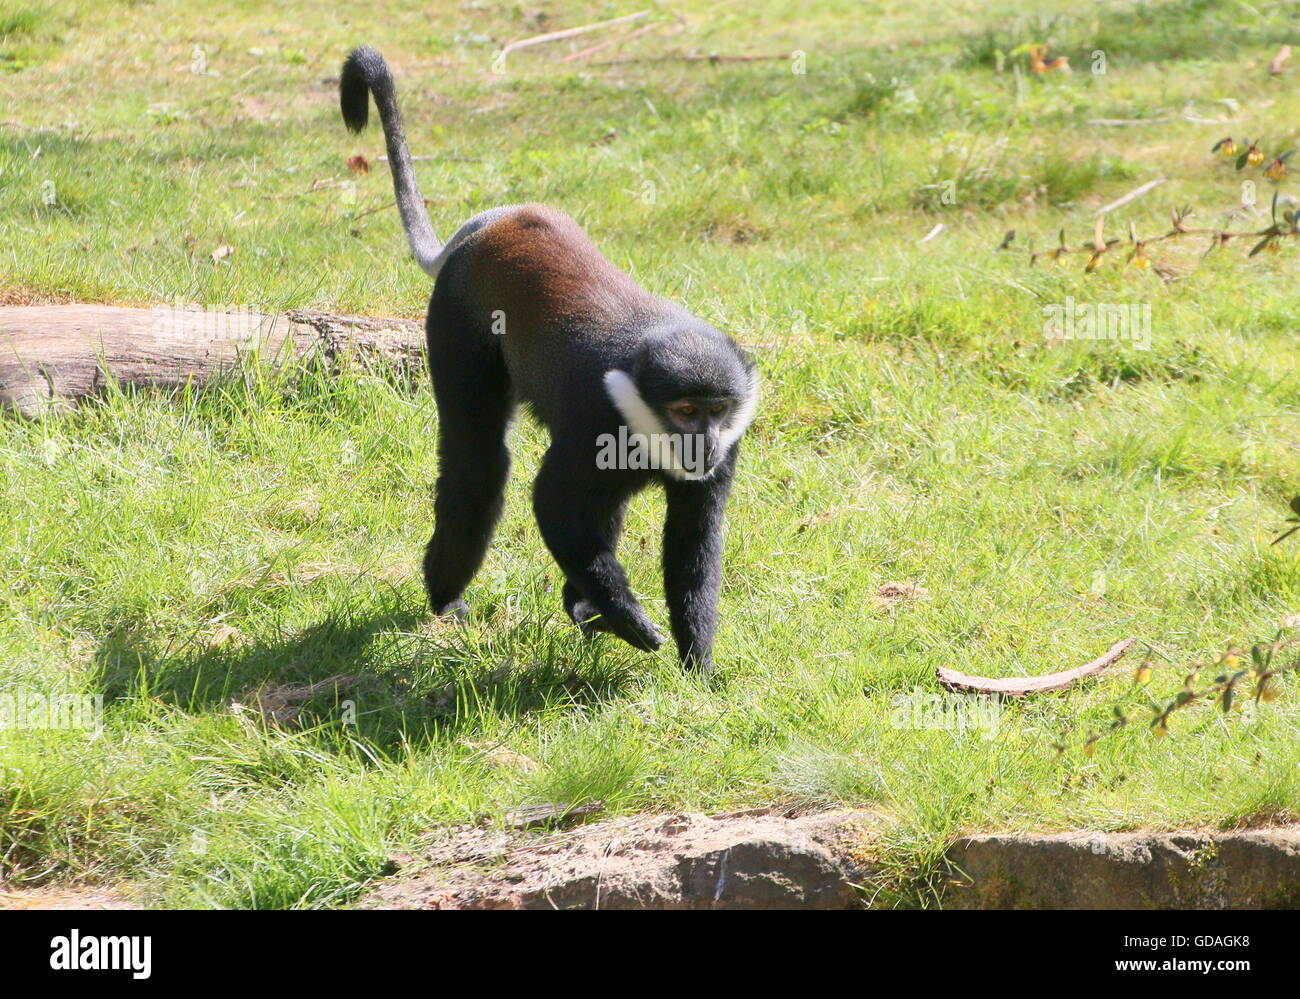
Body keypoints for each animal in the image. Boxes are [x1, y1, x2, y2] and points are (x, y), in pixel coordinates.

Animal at [338, 45, 758, 672]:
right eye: (685, 412)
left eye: (717, 410)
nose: (702, 445)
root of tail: (490, 223)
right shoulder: (594, 424)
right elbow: (553, 506)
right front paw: (630, 622)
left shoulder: (723, 455)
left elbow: (694, 544)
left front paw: (699, 669)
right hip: (458, 328)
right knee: (478, 464)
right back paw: (446, 598)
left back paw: (576, 604)